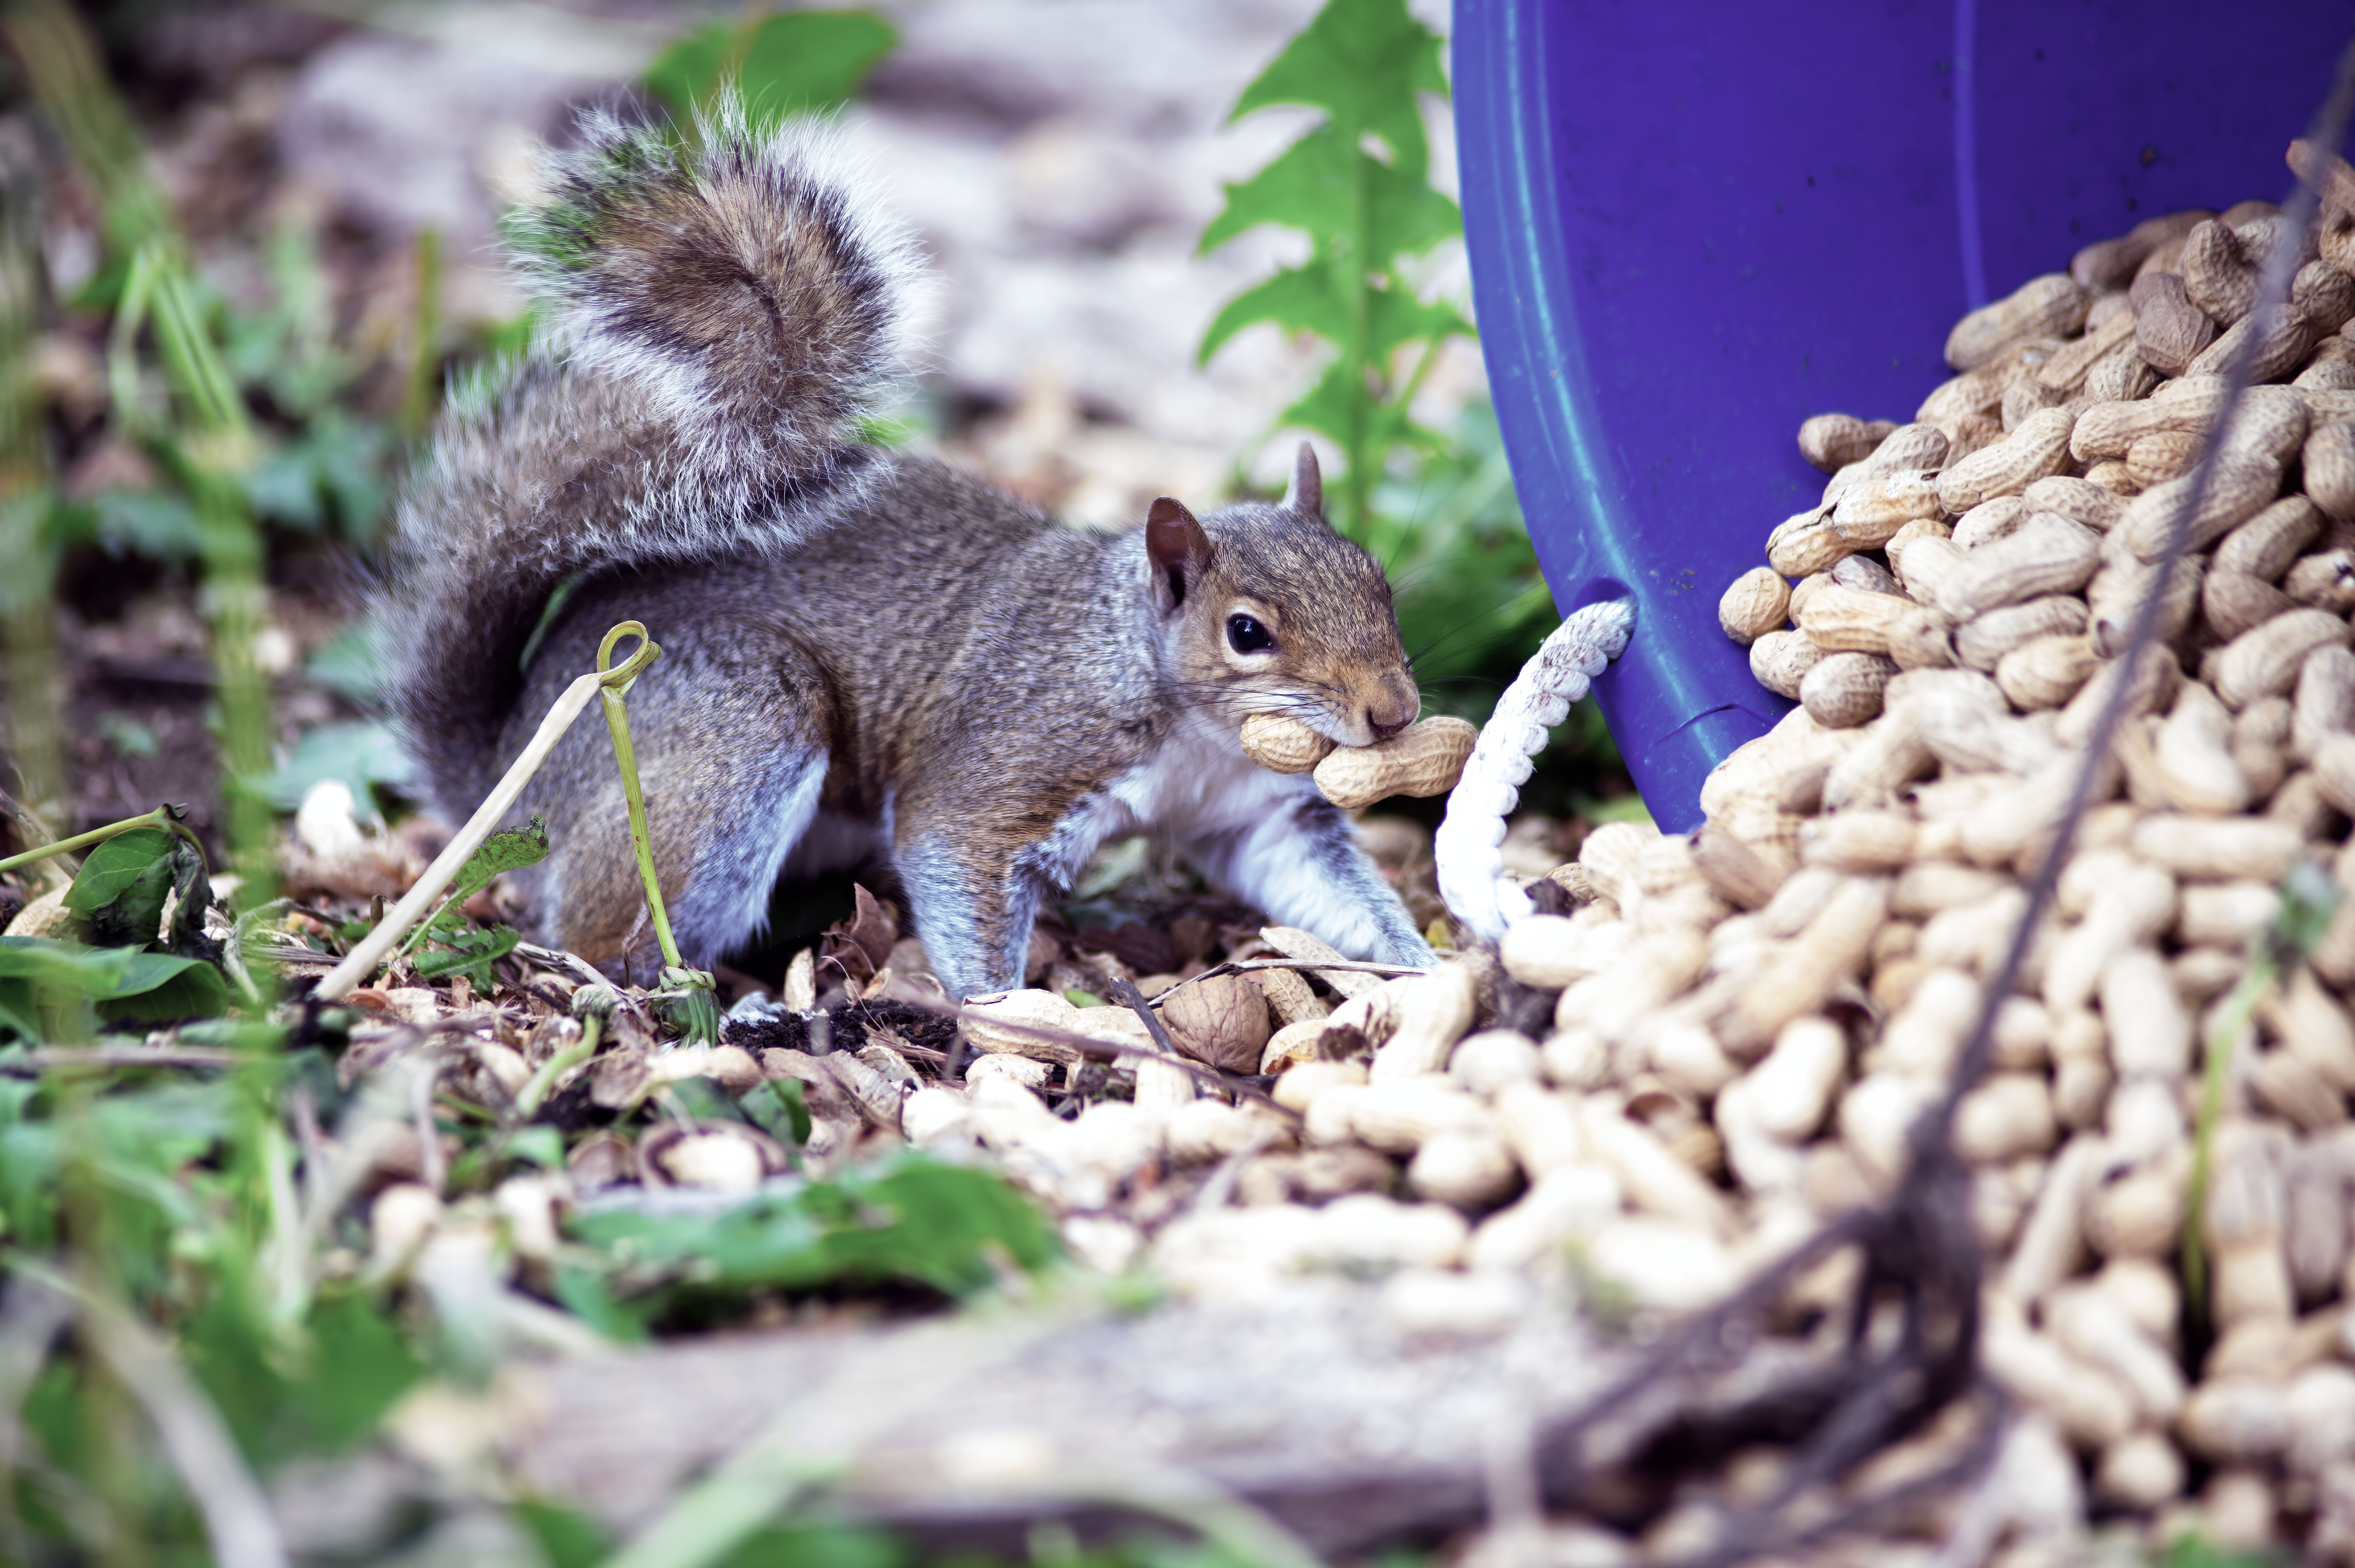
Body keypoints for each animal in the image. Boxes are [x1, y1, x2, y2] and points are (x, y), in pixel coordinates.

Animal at [379, 104, 1439, 1002]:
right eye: (1246, 632)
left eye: (1377, 583)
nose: (1394, 712)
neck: (1171, 703)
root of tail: (507, 772)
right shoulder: (1010, 761)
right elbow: (949, 852)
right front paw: (1010, 1012)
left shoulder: (1259, 815)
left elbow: (1325, 884)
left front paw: (1420, 963)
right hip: (734, 727)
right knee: (596, 936)